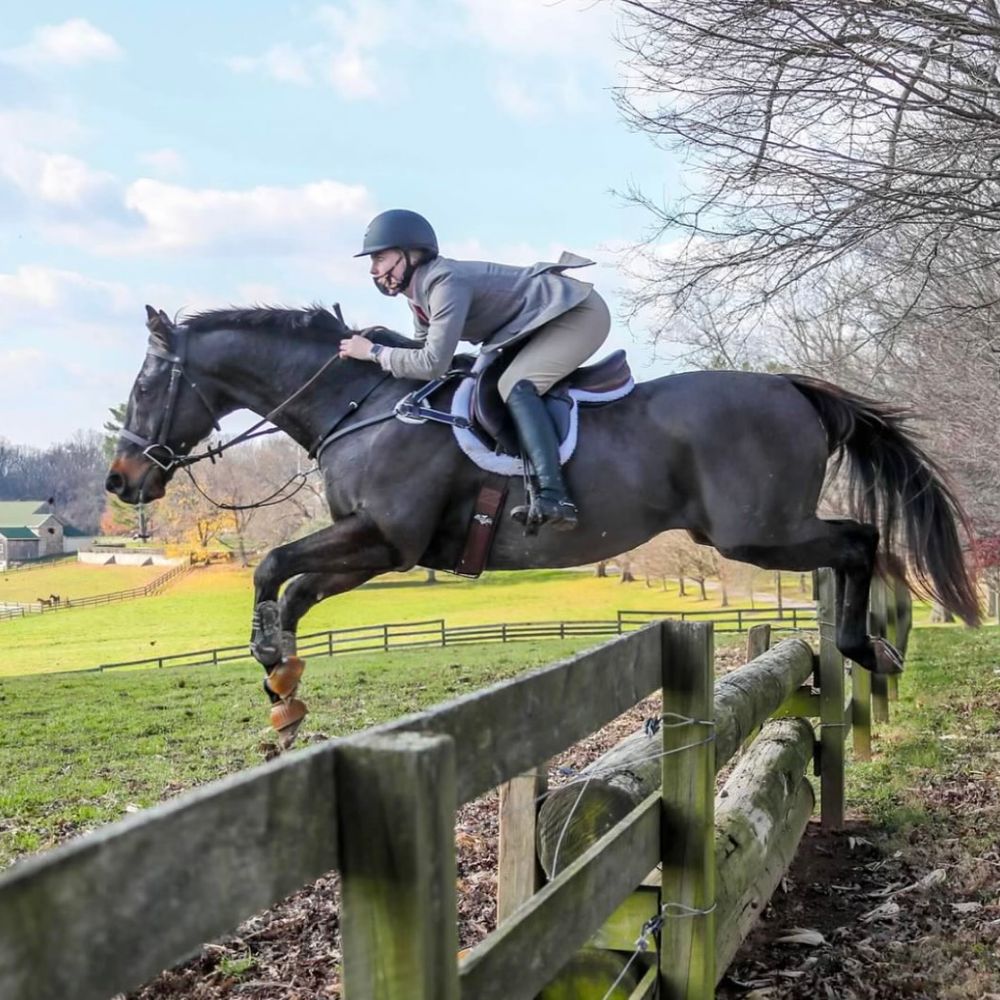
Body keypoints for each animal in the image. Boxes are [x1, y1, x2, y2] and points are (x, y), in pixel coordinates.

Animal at [106, 305, 980, 745]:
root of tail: (792, 386)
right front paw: (283, 692)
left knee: (861, 542)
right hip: (756, 531)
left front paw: (269, 664)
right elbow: (292, 590)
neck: (362, 403)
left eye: (146, 384)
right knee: (860, 547)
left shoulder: (387, 539)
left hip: (752, 533)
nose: (123, 482)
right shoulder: (375, 550)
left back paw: (867, 645)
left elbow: (269, 566)